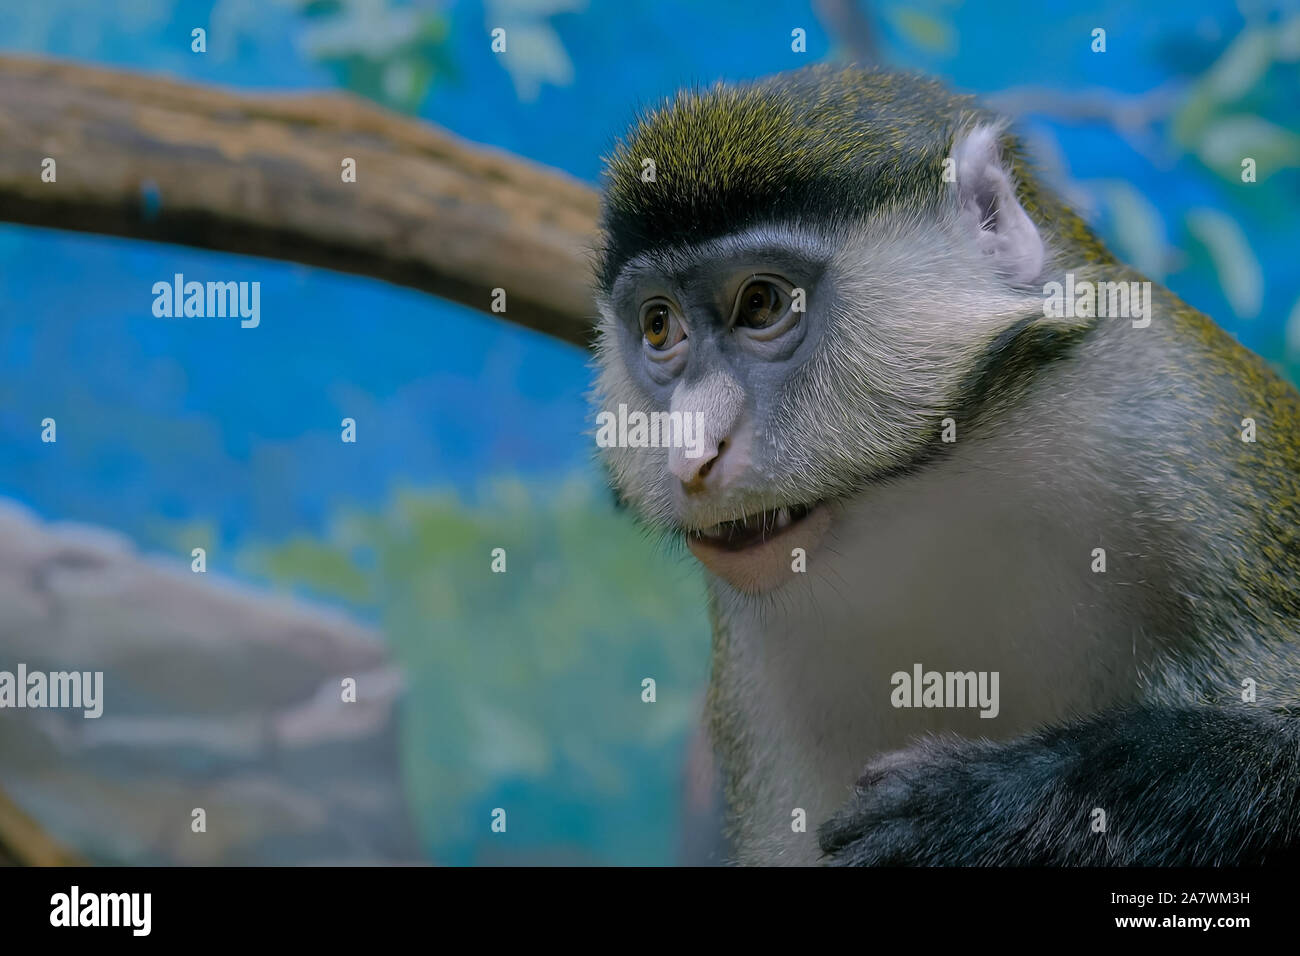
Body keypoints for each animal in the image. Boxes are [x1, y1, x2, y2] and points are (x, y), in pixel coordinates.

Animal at [590, 65, 1300, 866]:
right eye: (659, 326)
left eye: (763, 303)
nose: (692, 454)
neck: (949, 480)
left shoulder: (1192, 434)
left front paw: (981, 809)